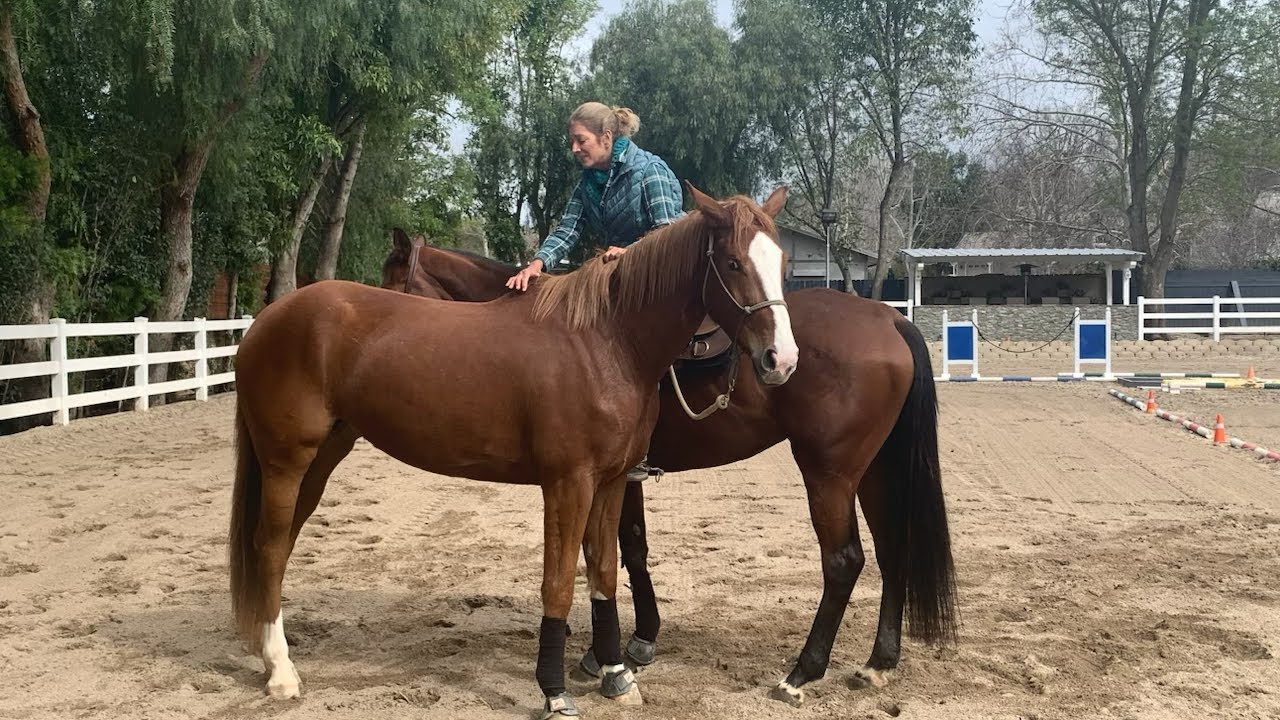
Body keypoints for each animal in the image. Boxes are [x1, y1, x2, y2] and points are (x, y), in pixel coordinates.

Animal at [229, 185, 797, 719]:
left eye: (782, 262)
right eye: (733, 263)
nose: (781, 359)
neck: (606, 340)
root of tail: (268, 318)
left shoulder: (613, 482)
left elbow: (605, 573)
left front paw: (615, 672)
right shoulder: (568, 484)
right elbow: (560, 583)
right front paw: (555, 692)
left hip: (322, 456)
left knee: (277, 546)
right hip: (287, 460)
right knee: (271, 547)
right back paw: (281, 672)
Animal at [381, 225, 957, 705]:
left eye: (392, 284)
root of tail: (889, 316)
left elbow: (621, 551)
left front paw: (625, 647)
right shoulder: (618, 474)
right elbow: (625, 549)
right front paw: (625, 642)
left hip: (829, 474)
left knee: (843, 561)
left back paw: (802, 672)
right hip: (874, 470)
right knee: (892, 550)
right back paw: (879, 662)